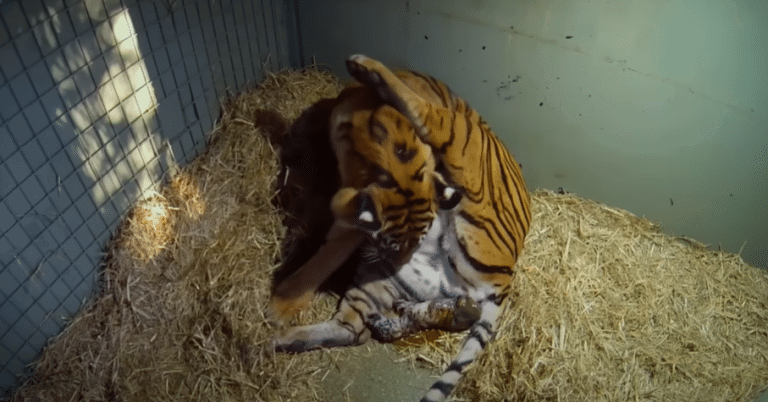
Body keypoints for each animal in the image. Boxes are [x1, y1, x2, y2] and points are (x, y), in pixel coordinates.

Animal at [269, 55, 531, 402]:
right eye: (390, 247)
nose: (395, 261)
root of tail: (506, 279)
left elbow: (330, 245)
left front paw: (282, 300)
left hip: (467, 143)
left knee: (431, 117)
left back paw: (364, 66)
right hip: (381, 284)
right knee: (354, 330)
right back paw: (279, 340)